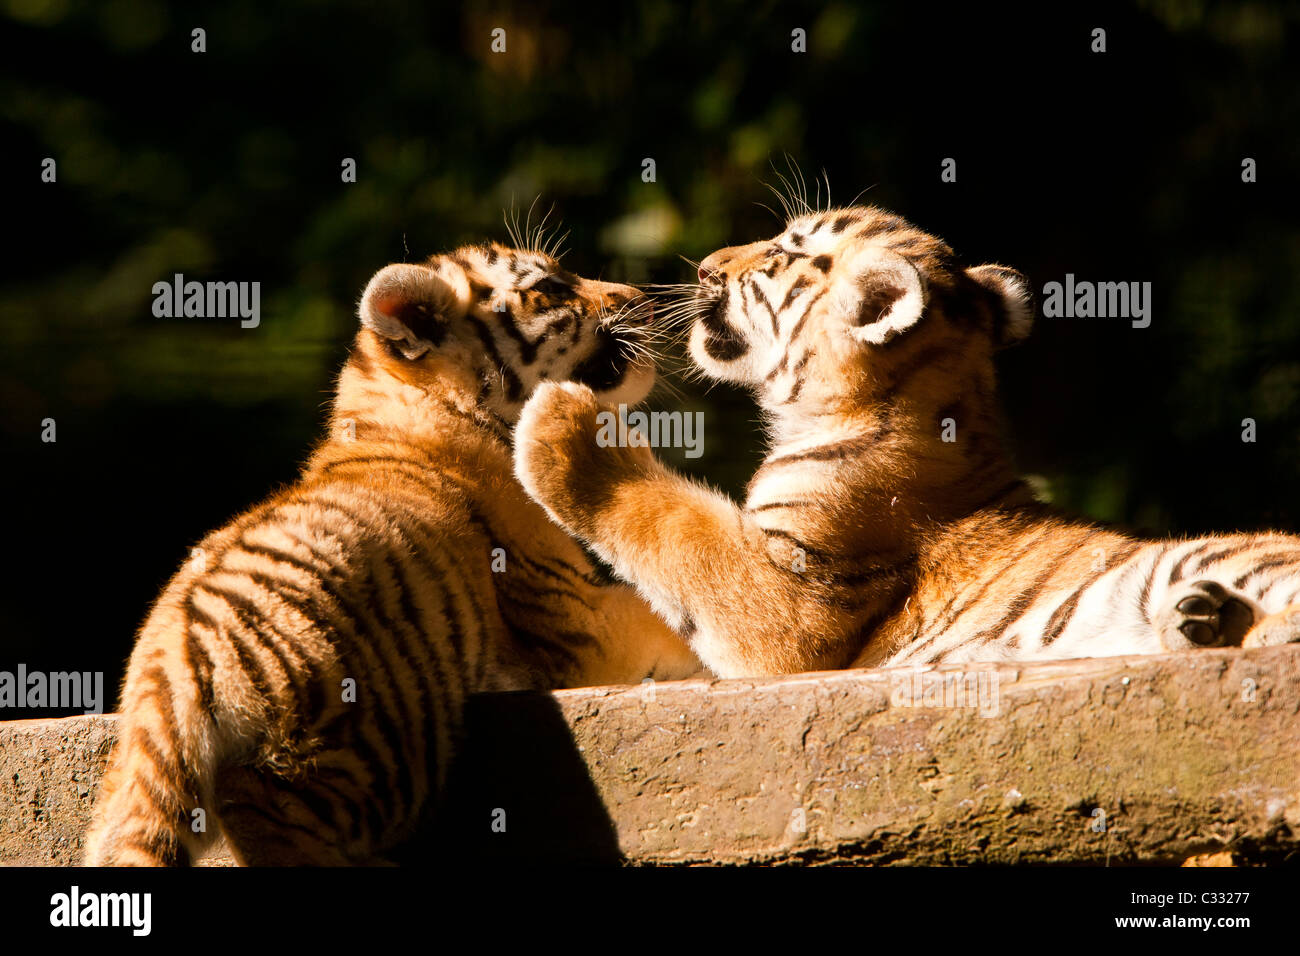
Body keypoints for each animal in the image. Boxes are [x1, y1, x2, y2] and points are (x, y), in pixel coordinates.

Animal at [85, 242, 700, 866]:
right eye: (550, 289)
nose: (642, 298)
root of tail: (173, 667)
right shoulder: (573, 614)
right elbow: (668, 619)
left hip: (118, 801)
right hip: (360, 753)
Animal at [513, 204, 1300, 678]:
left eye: (779, 258)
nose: (704, 266)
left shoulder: (793, 599)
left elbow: (669, 523)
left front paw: (559, 420)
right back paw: (1200, 621)